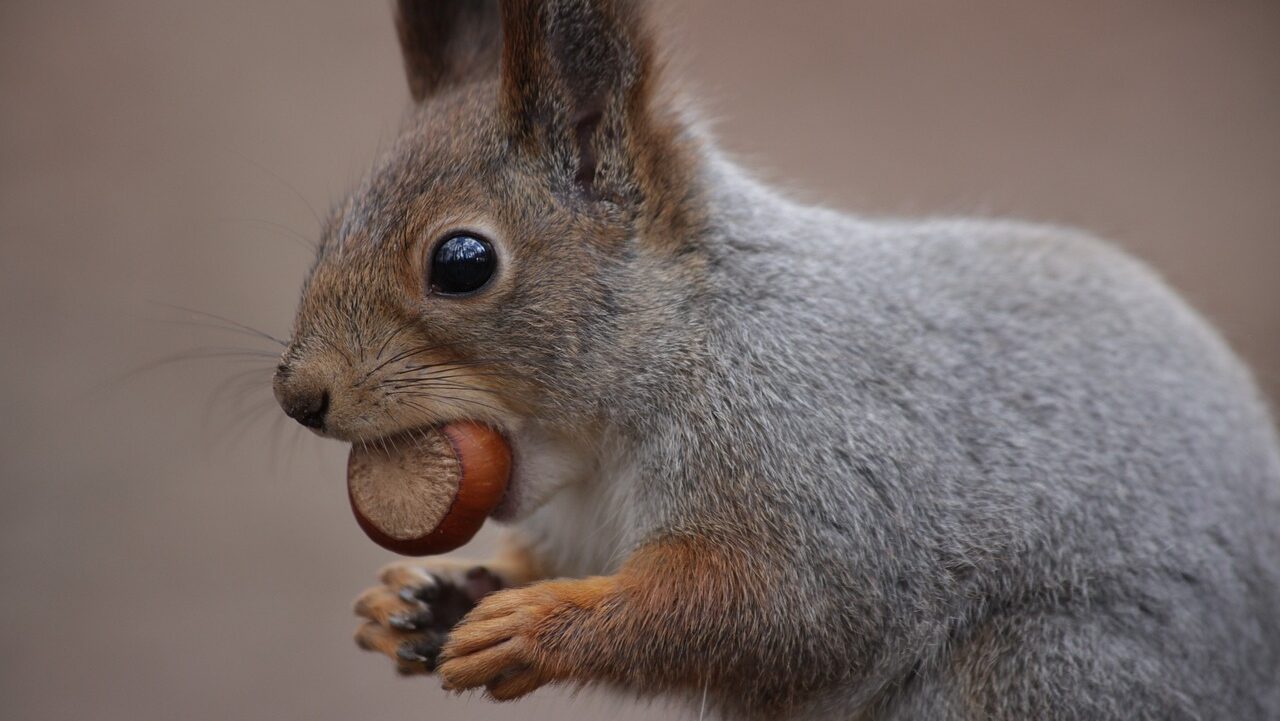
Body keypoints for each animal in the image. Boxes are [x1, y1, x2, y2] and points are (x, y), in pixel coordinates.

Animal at [271, 1, 1280, 719]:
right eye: (329, 230)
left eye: (462, 262)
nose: (299, 395)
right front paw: (426, 599)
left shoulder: (810, 458)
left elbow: (777, 608)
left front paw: (538, 626)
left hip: (1051, 669)